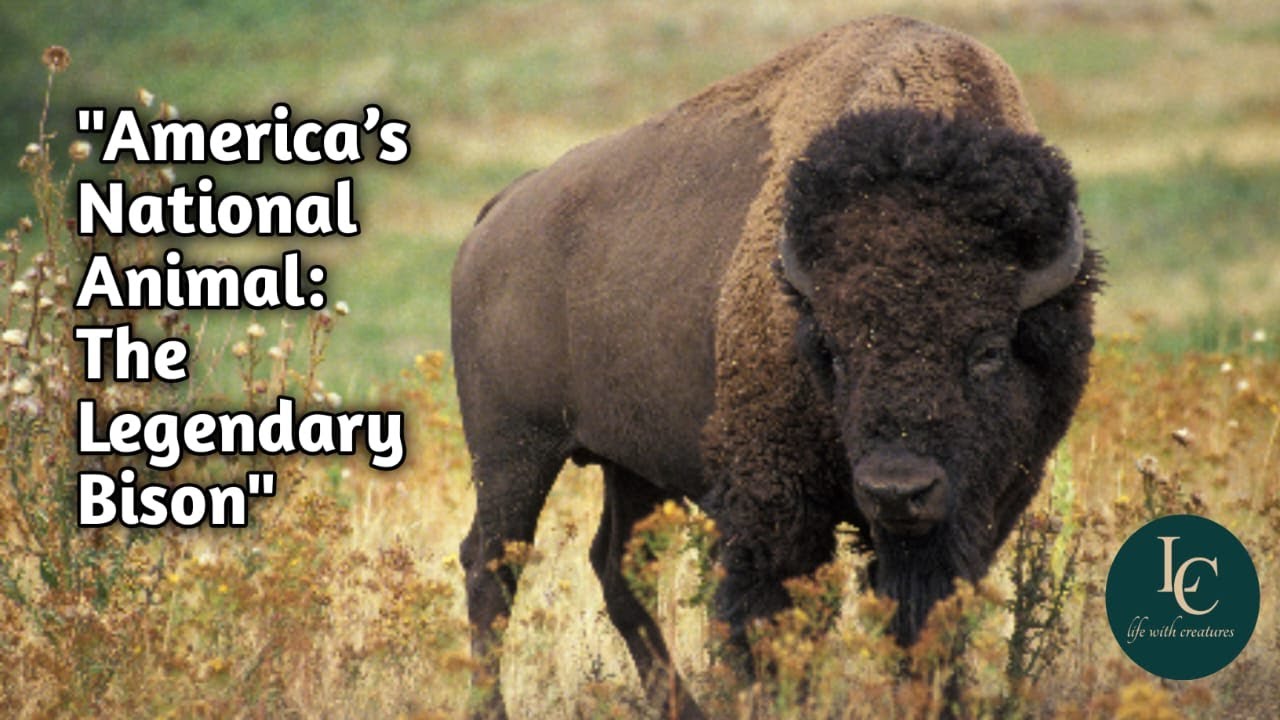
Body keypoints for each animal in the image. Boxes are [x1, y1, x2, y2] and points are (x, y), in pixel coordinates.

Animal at [452, 14, 1099, 718]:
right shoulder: (775, 504)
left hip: (630, 464)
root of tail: (499, 212)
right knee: (492, 568)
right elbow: (771, 619)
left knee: (616, 566)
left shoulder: (981, 507)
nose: (896, 490)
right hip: (514, 451)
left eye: (987, 351)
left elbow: (924, 619)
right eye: (834, 350)